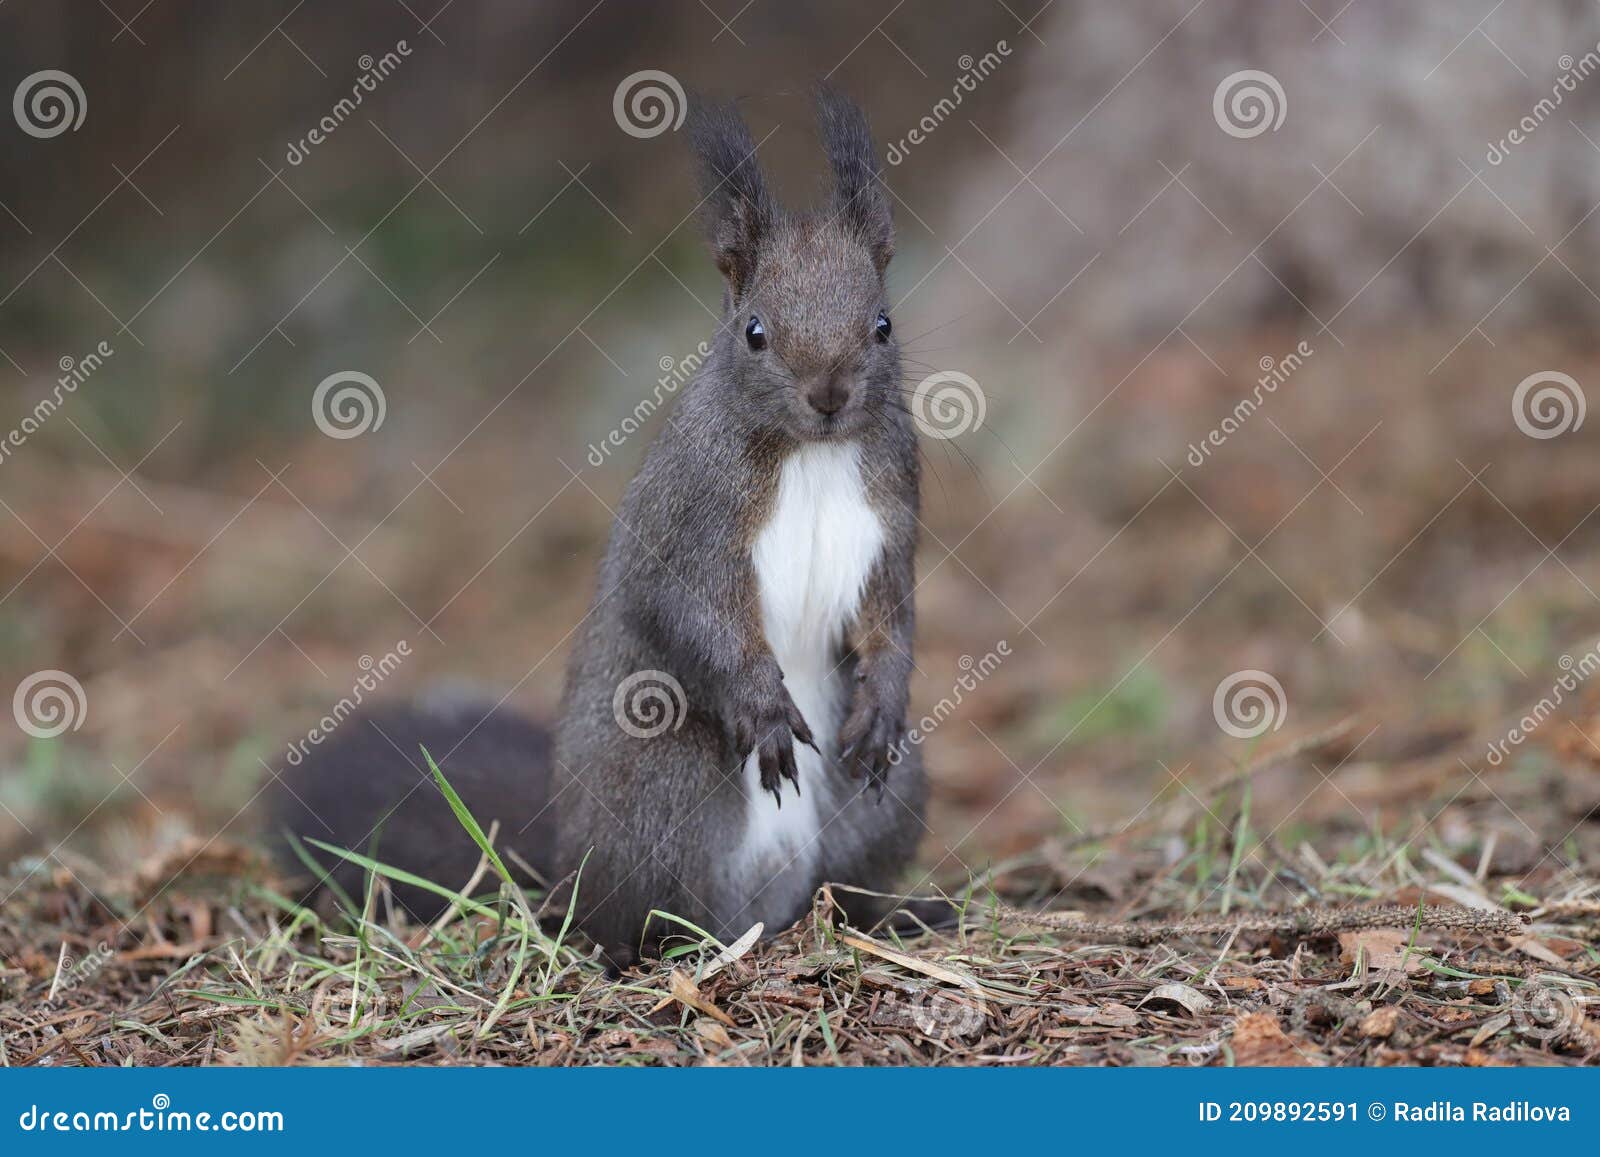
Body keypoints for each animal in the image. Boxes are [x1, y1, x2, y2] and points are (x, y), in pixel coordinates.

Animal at [270, 89, 932, 969]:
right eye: (754, 331)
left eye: (884, 323)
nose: (829, 394)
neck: (813, 451)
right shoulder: (689, 512)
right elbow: (685, 607)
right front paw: (761, 705)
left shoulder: (894, 507)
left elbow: (892, 615)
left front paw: (883, 701)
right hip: (659, 778)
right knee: (628, 916)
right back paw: (660, 950)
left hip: (879, 808)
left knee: (844, 874)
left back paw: (887, 918)